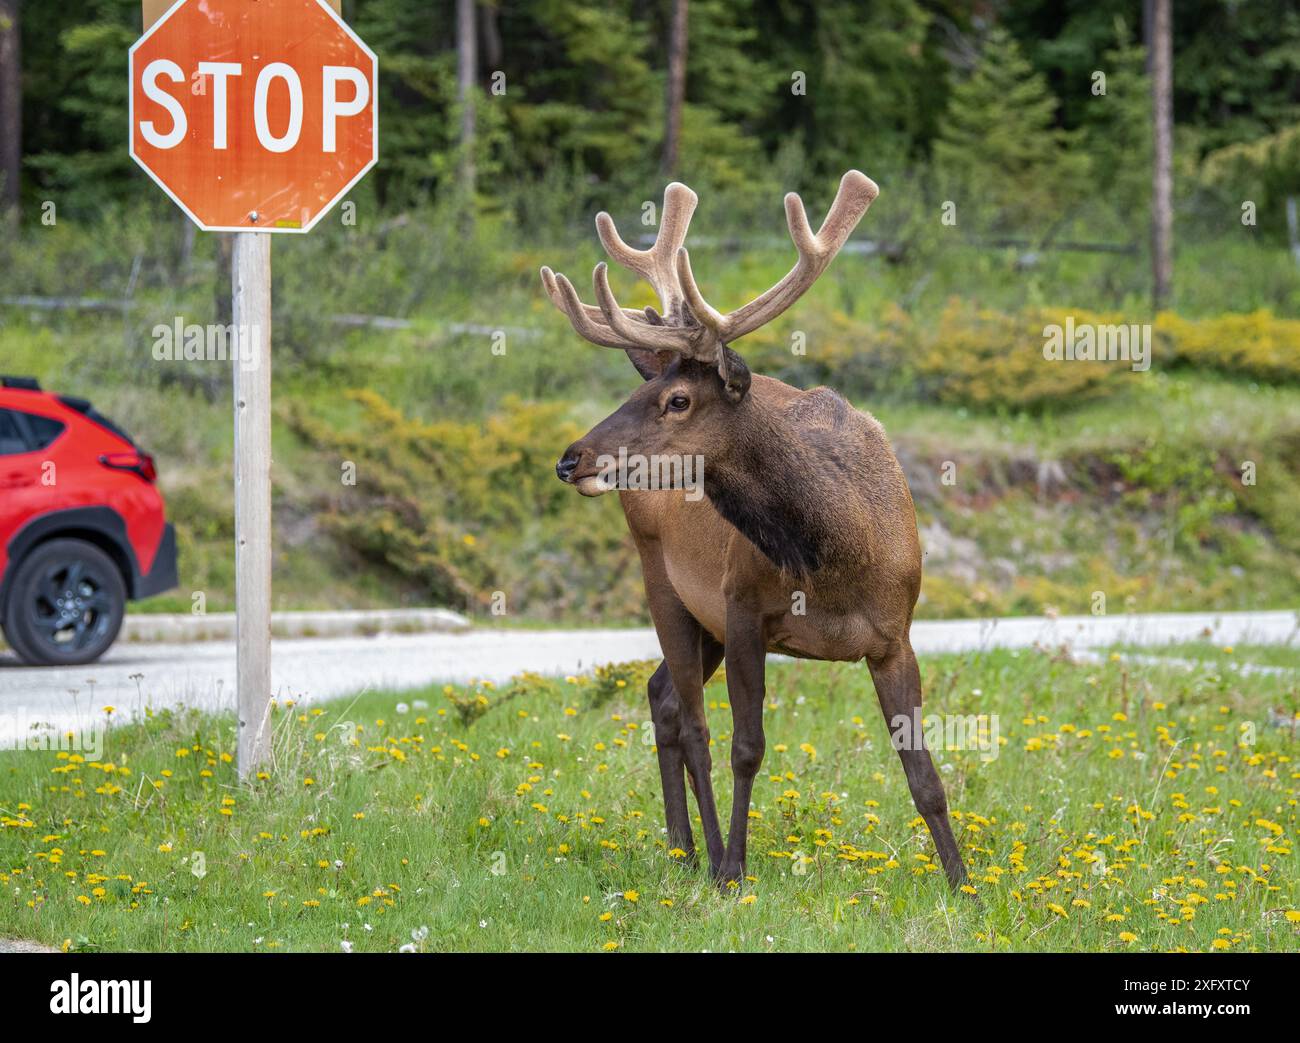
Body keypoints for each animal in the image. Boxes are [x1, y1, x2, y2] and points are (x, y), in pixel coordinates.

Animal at [540, 171, 966, 889]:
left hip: (699, 616)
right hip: (665, 583)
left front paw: (964, 883)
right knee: (690, 721)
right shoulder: (741, 607)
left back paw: (683, 848)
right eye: (638, 394)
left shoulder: (895, 634)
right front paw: (736, 867)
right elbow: (746, 747)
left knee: (660, 694)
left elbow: (924, 772)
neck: (834, 562)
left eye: (677, 400)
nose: (573, 458)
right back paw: (707, 857)